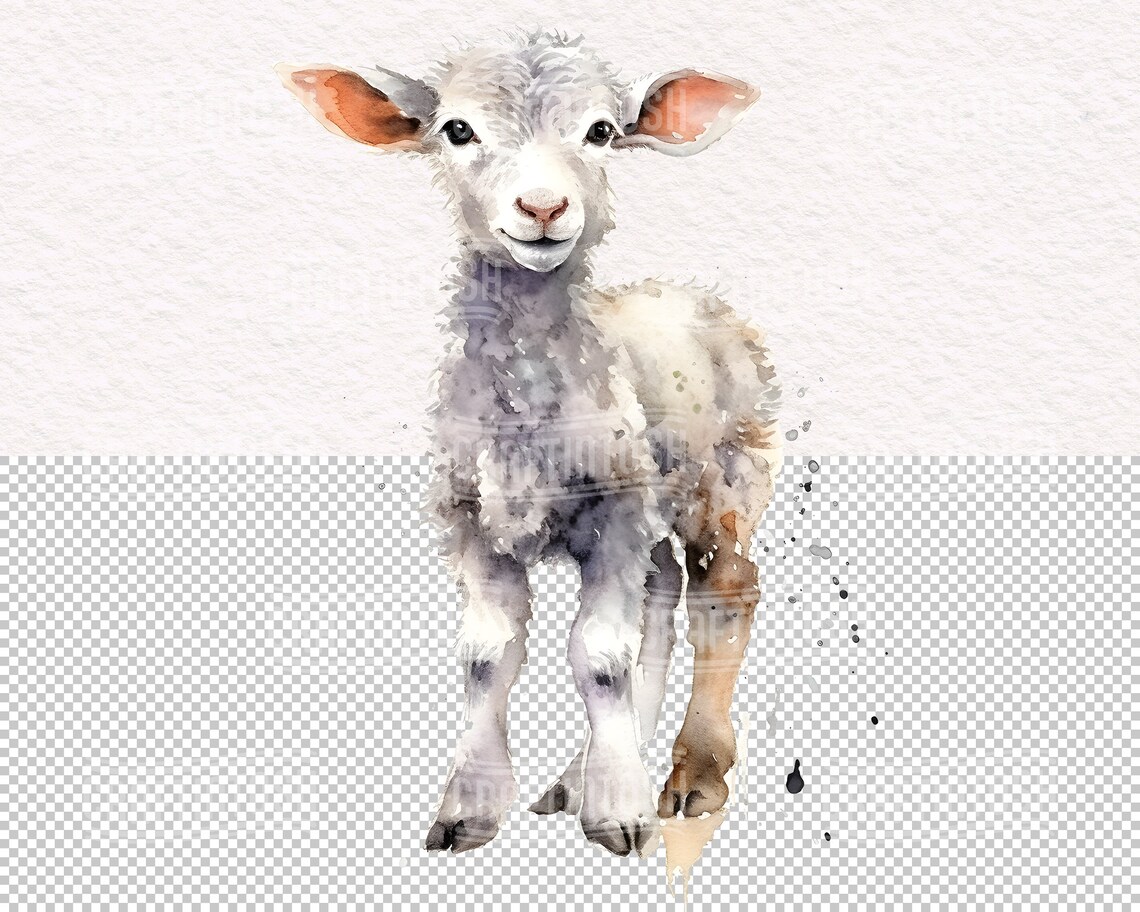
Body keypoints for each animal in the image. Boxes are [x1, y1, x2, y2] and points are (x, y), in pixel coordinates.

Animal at [277, 28, 781, 858]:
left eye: (601, 131)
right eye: (457, 130)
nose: (543, 207)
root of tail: (691, 291)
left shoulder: (614, 516)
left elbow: (598, 658)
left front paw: (618, 814)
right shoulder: (474, 526)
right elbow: (488, 657)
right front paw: (470, 808)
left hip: (726, 479)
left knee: (723, 593)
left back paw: (692, 774)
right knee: (661, 596)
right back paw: (588, 773)